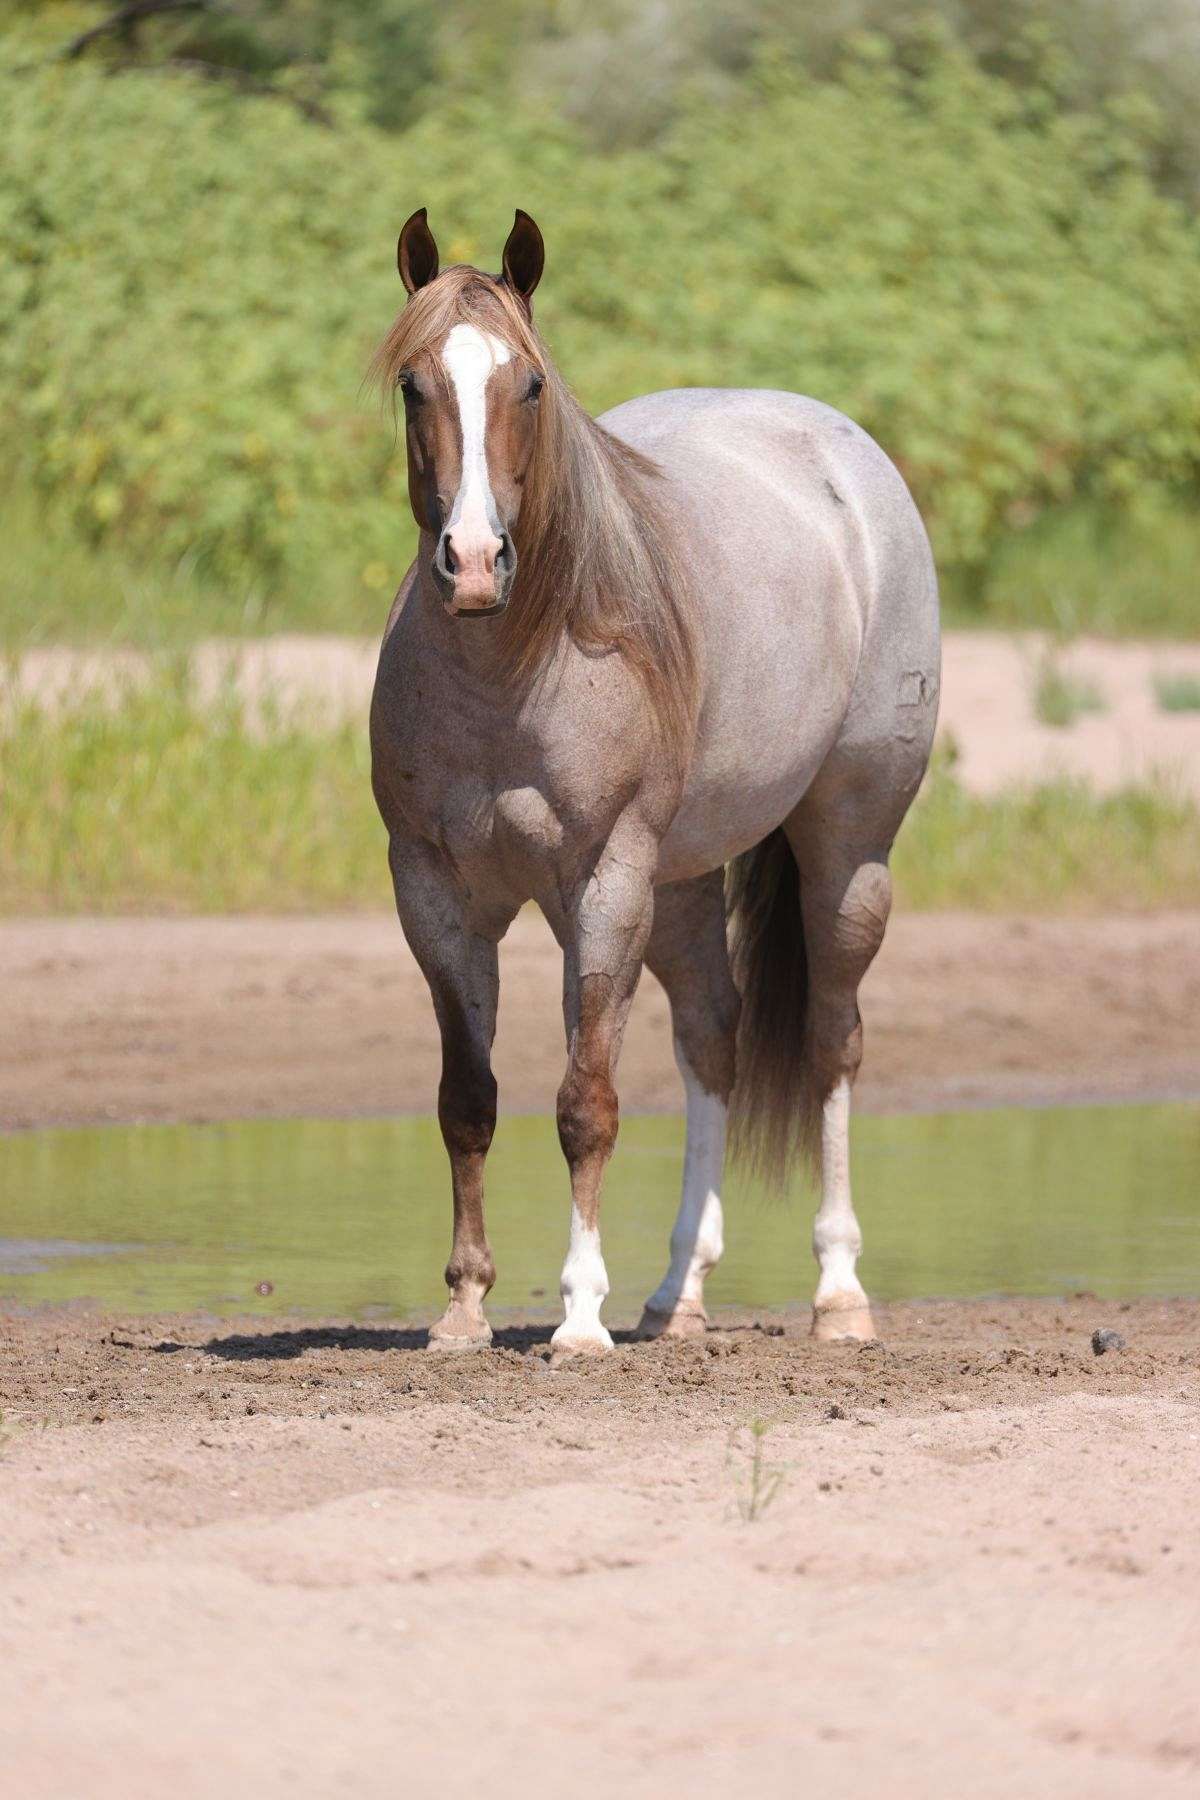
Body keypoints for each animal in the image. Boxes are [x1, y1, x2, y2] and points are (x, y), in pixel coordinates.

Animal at [369, 208, 940, 1362]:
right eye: (414, 383)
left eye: (530, 385)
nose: (473, 562)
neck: (512, 673)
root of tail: (848, 461)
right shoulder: (435, 892)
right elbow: (468, 1098)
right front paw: (463, 1310)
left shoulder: (604, 883)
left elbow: (585, 1101)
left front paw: (580, 1317)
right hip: (680, 883)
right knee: (712, 1040)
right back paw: (677, 1296)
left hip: (847, 850)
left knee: (833, 1042)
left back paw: (839, 1296)